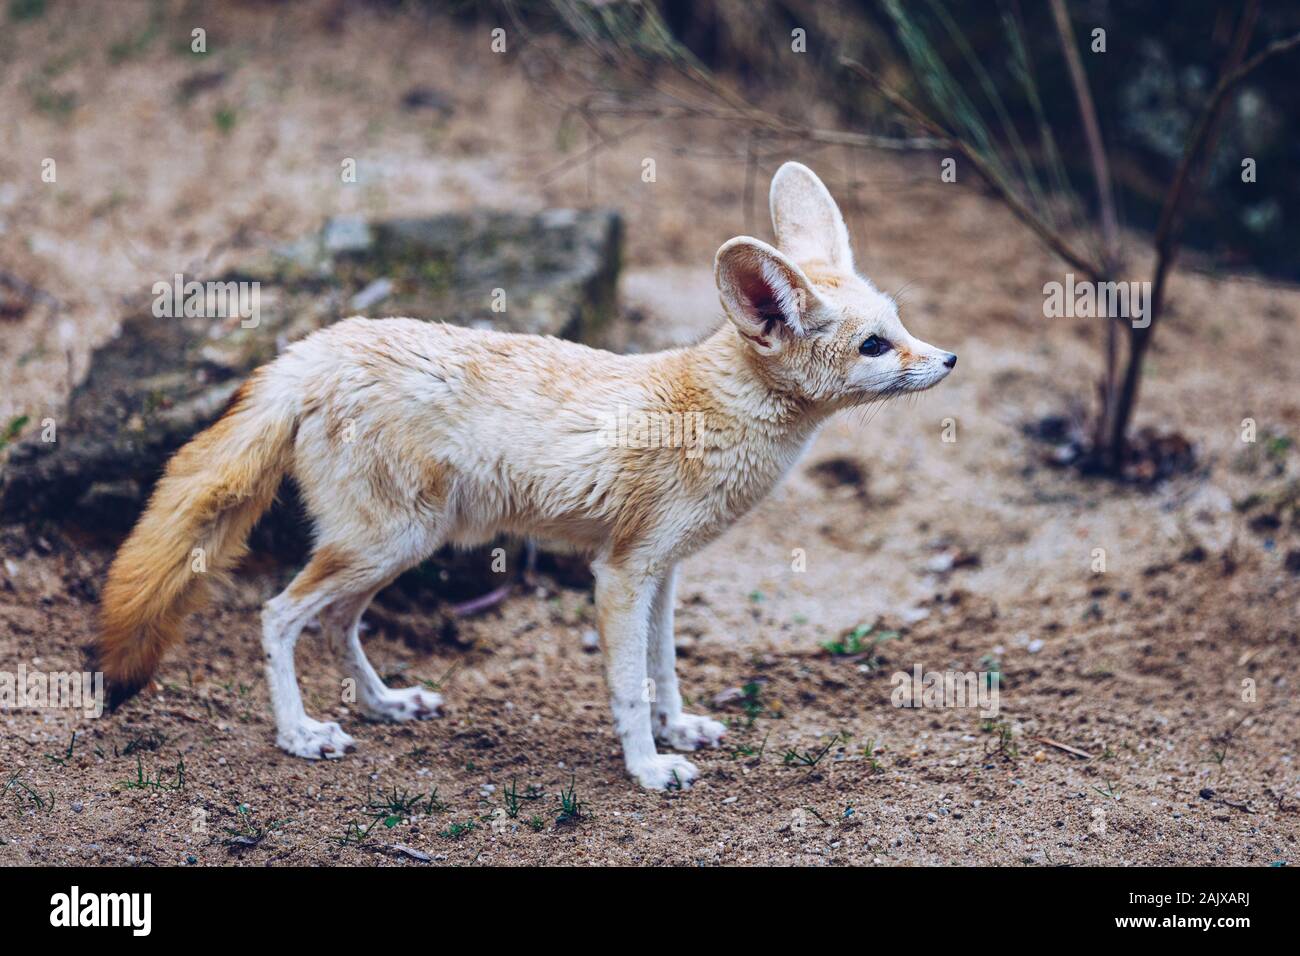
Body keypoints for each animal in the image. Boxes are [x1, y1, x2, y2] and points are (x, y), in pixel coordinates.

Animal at [94, 162, 956, 790]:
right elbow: (628, 687)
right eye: (875, 346)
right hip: (382, 545)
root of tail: (310, 349)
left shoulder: (665, 572)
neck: (708, 408)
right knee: (277, 615)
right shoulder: (621, 573)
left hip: (396, 549)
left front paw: (678, 729)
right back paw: (300, 733)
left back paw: (385, 704)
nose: (949, 359)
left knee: (336, 623)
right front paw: (648, 768)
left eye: (900, 324)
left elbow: (664, 669)